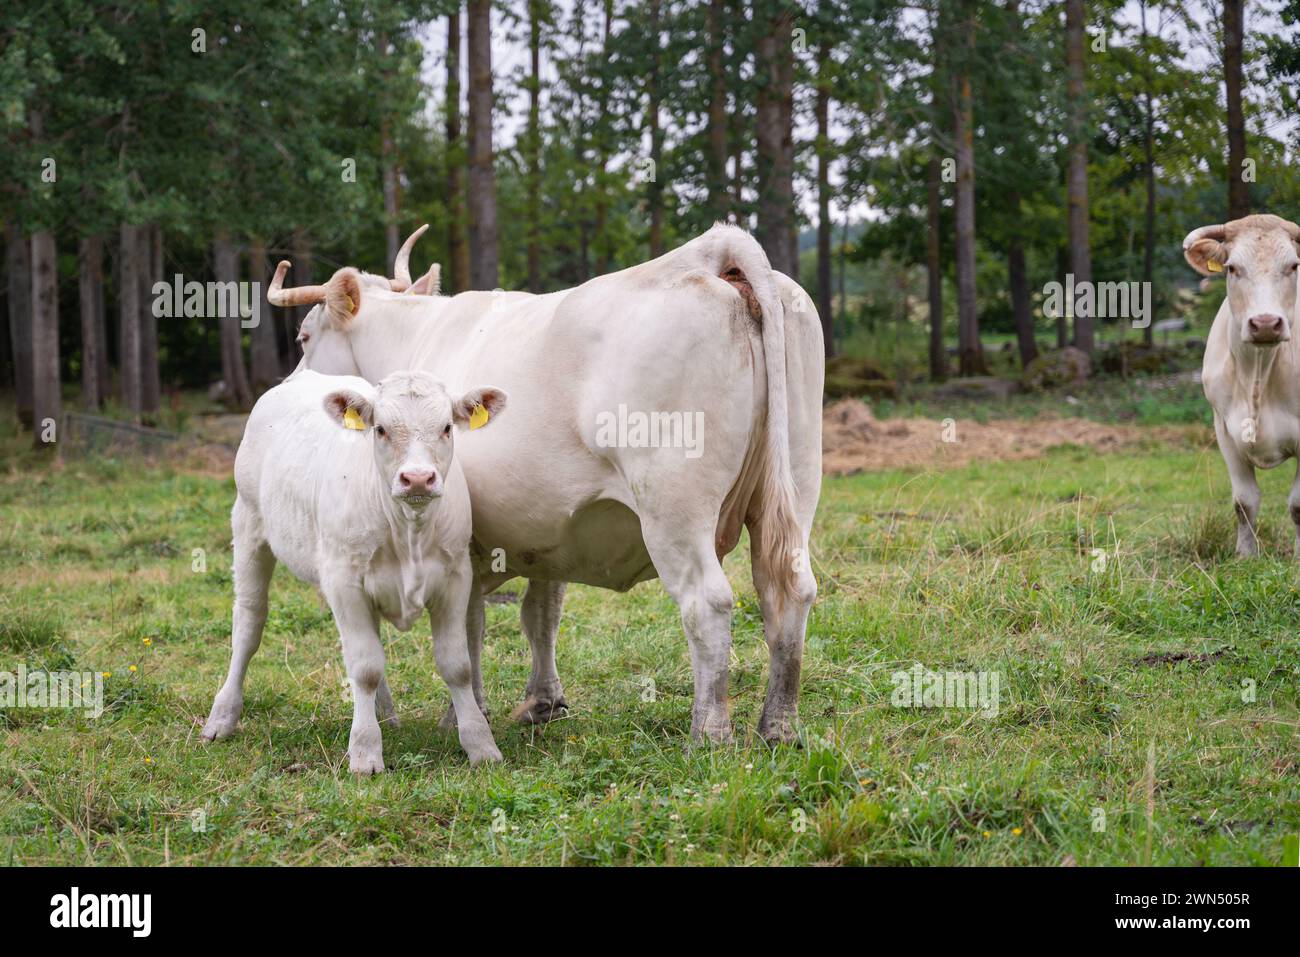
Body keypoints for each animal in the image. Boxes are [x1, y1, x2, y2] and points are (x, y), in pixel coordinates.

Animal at [200, 368, 508, 772]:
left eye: (446, 427)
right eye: (380, 429)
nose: (418, 478)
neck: (409, 531)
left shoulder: (455, 577)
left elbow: (457, 665)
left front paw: (480, 744)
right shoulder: (344, 583)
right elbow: (365, 667)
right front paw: (364, 750)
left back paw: (385, 713)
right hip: (249, 525)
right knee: (249, 625)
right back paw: (222, 716)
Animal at [273, 224, 824, 744]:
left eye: (303, 336)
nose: (287, 387)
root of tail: (712, 251)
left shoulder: (464, 538)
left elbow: (469, 625)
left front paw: (463, 714)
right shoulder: (551, 527)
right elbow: (540, 614)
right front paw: (544, 701)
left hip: (676, 509)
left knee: (708, 603)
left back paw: (709, 733)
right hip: (796, 484)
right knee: (789, 590)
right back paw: (780, 726)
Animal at [1184, 213, 1300, 556]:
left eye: (1293, 266)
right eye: (1233, 268)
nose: (1265, 324)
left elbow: (1297, 505)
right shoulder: (1224, 429)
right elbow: (1244, 501)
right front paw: (1245, 555)